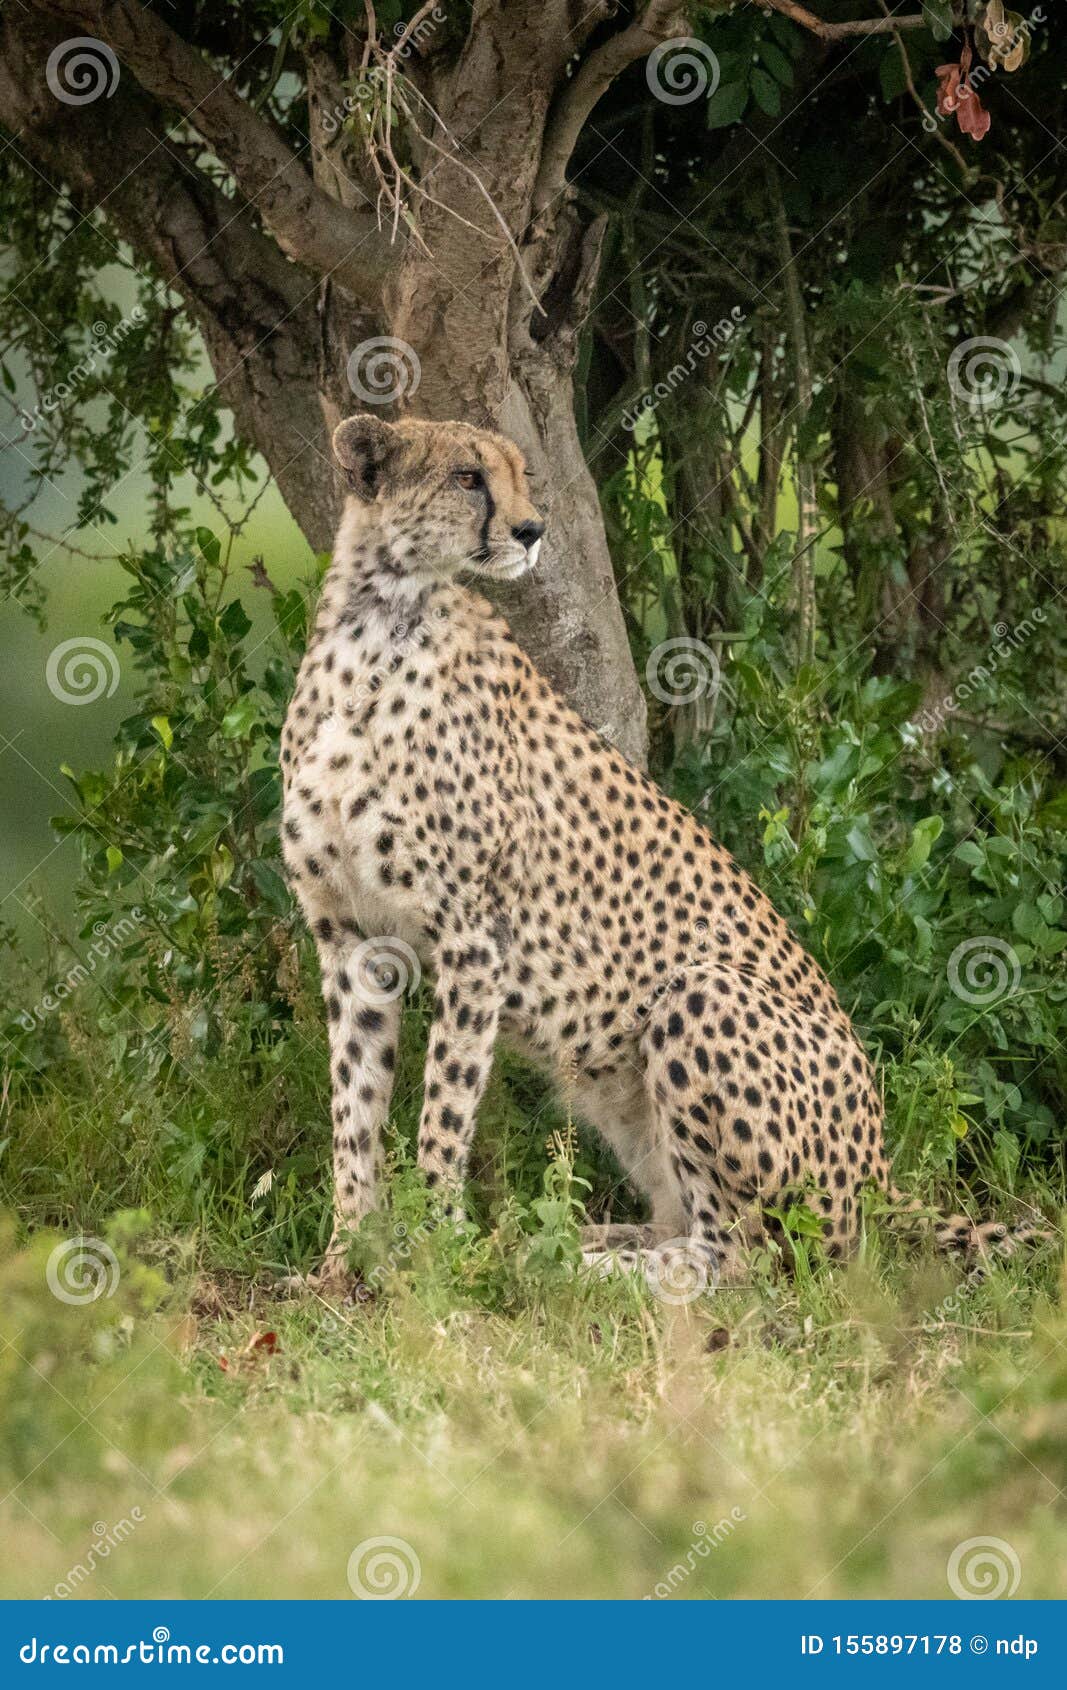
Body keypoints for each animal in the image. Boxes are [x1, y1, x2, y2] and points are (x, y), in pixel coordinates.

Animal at [280, 412, 1041, 1292]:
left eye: (519, 473)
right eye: (467, 477)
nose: (531, 530)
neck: (379, 619)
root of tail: (881, 1172)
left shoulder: (473, 940)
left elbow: (443, 1112)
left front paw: (436, 1258)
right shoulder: (350, 939)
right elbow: (353, 1112)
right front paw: (341, 1260)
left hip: (699, 995)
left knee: (748, 1261)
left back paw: (576, 1266)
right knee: (693, 1227)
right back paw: (576, 1241)